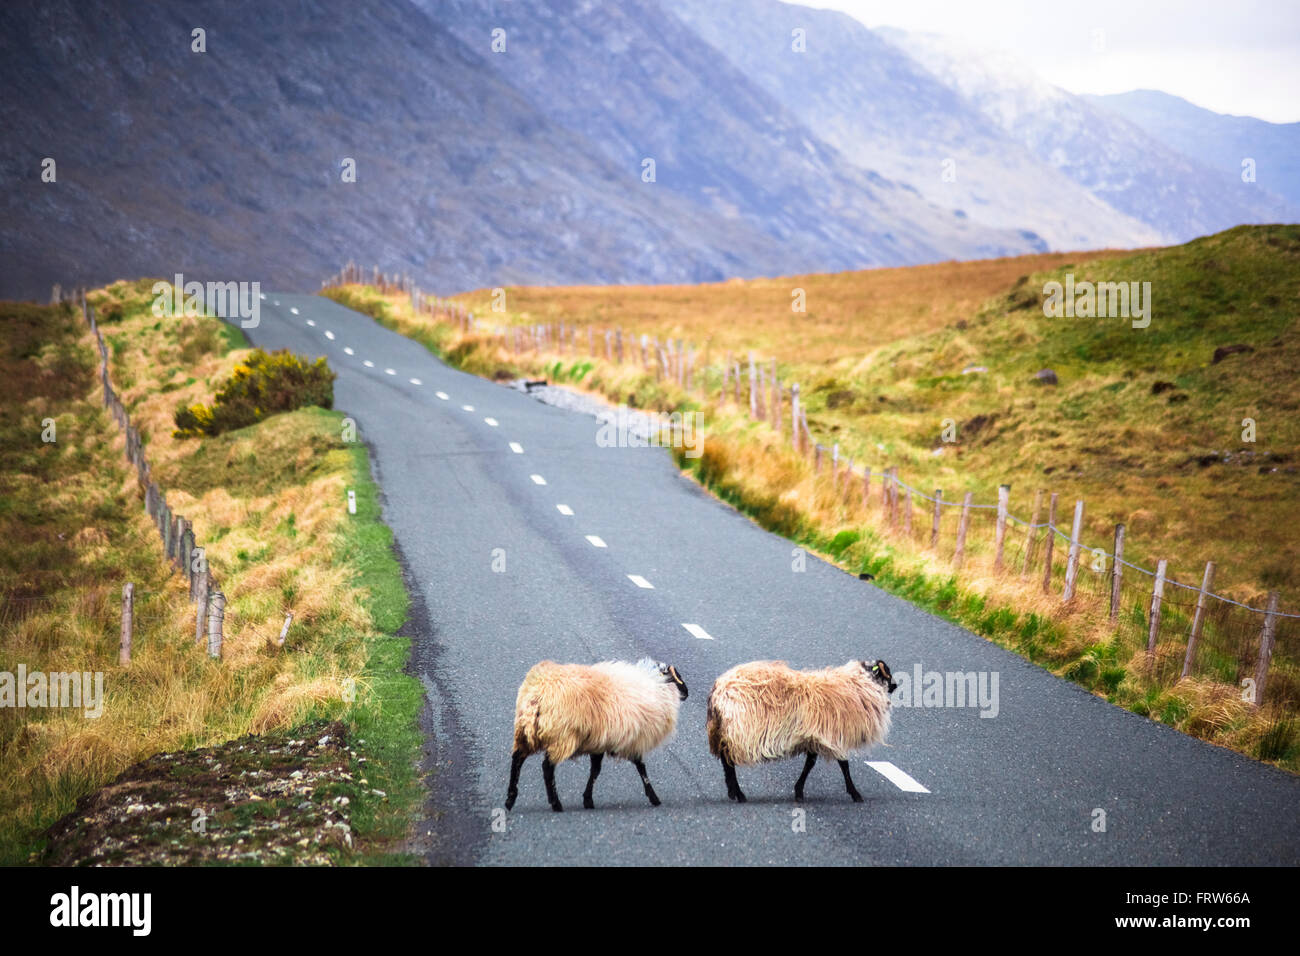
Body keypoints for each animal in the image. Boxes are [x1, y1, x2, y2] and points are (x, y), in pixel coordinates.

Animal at [505, 658, 688, 812]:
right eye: (677, 676)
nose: (687, 693)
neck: (654, 684)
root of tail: (537, 695)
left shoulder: (600, 740)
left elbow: (595, 770)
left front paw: (587, 800)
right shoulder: (629, 739)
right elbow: (639, 767)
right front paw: (654, 797)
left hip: (525, 732)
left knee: (517, 759)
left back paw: (510, 799)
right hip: (561, 737)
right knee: (547, 767)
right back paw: (556, 804)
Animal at [706, 658, 897, 803]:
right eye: (886, 671)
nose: (895, 685)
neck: (859, 684)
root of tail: (718, 690)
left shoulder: (815, 737)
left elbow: (809, 764)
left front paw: (798, 791)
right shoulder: (834, 736)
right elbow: (844, 764)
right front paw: (855, 794)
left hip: (724, 731)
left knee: (725, 759)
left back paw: (733, 792)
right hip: (738, 731)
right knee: (728, 761)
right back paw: (738, 794)